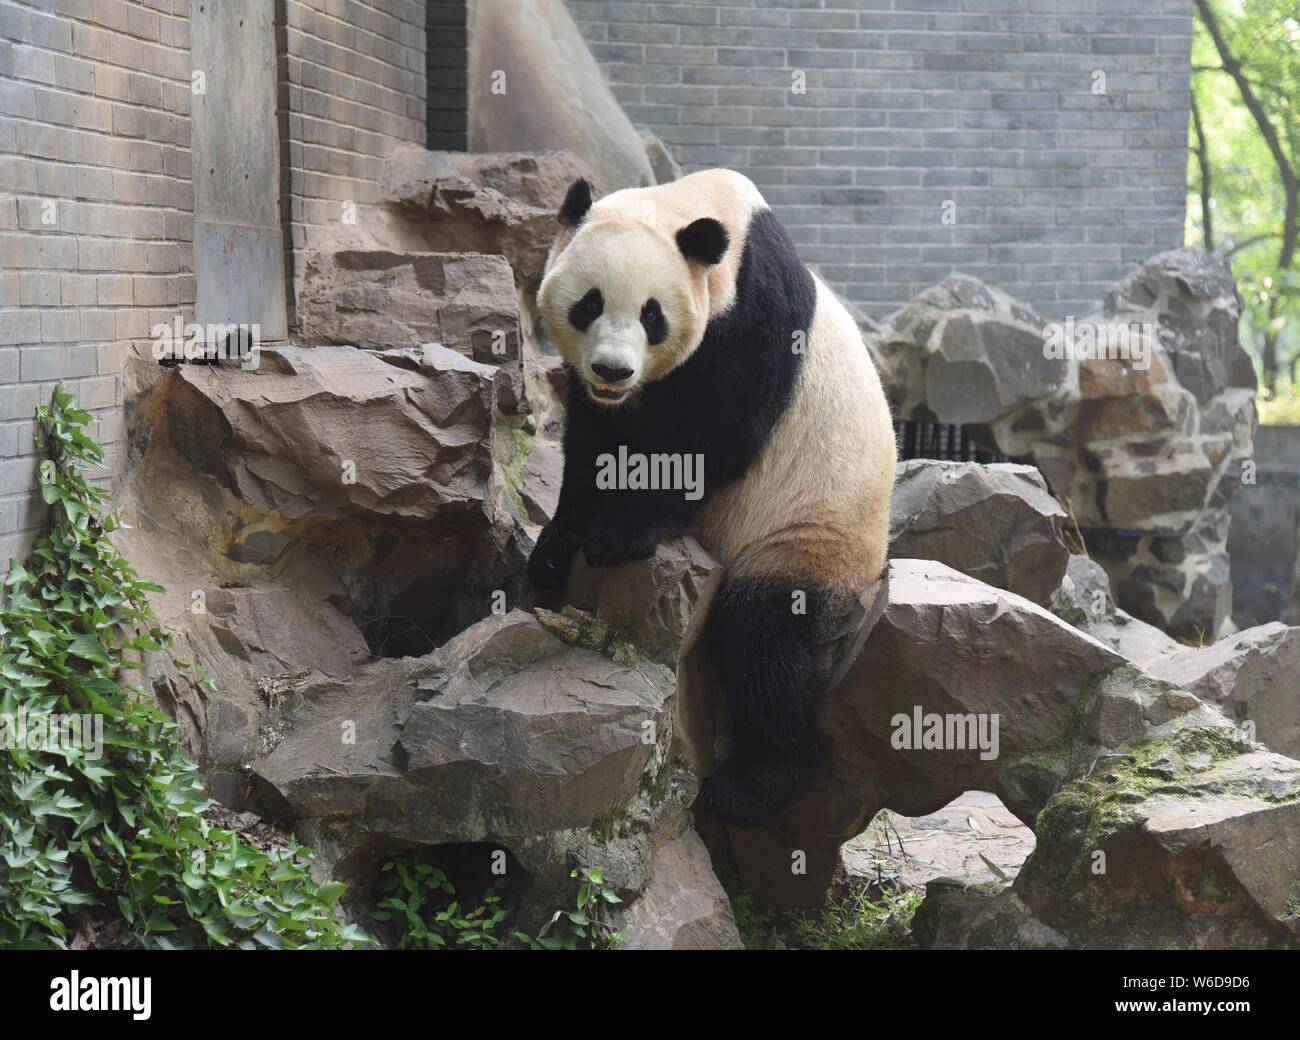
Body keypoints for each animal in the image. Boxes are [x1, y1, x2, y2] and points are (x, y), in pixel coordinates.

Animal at [528, 169, 896, 826]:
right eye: (590, 303)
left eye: (651, 315)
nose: (613, 371)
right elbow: (593, 440)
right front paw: (555, 544)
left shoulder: (753, 319)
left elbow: (715, 435)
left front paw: (621, 532)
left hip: (811, 536)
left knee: (765, 638)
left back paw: (754, 784)